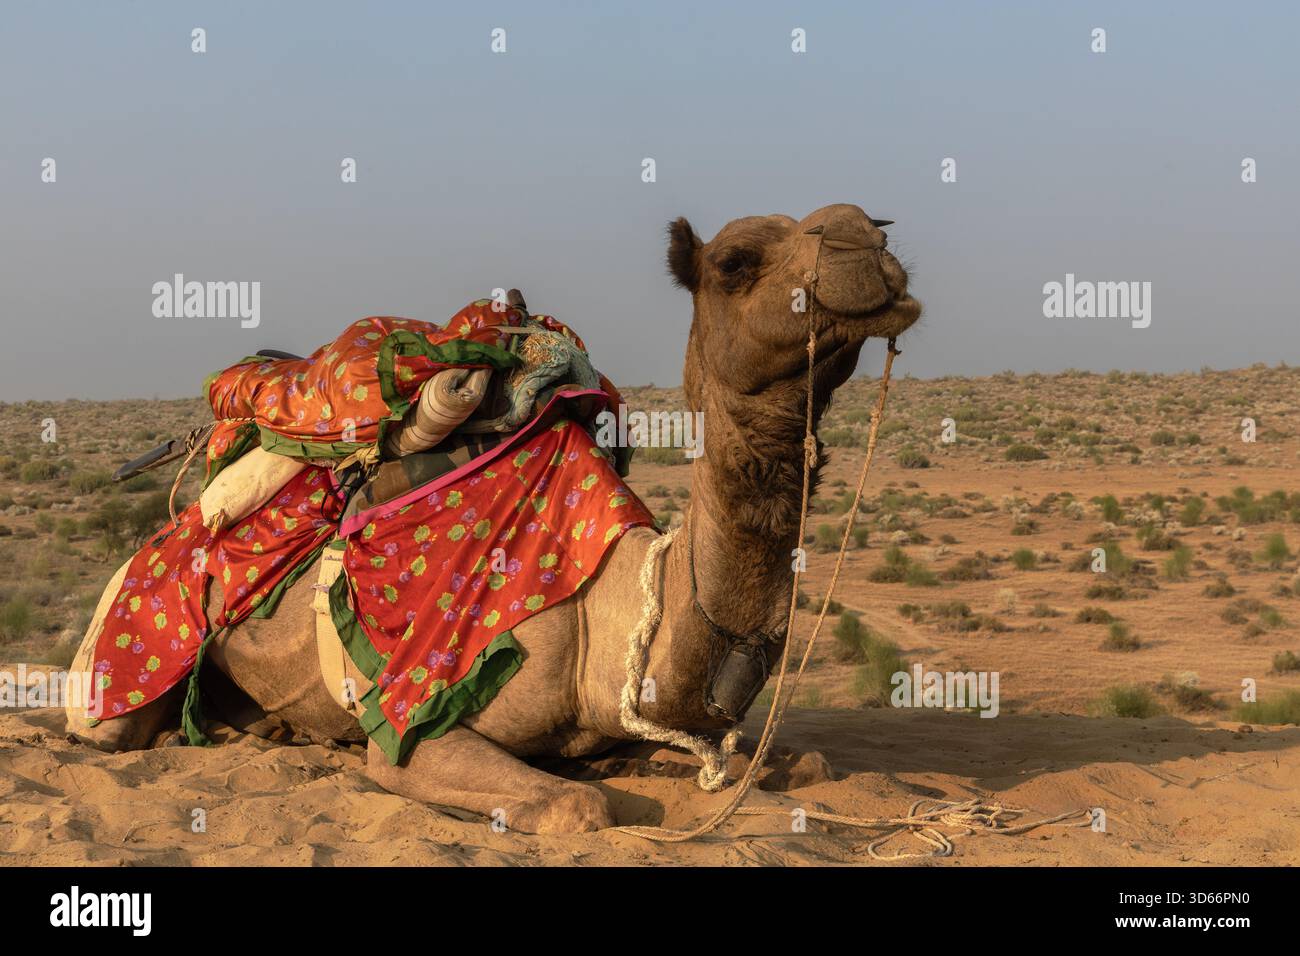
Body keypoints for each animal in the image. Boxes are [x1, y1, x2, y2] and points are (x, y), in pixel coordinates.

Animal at [65, 203, 920, 833]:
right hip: (133, 644)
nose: (867, 234)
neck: (608, 611)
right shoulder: (416, 724)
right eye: (736, 262)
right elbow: (580, 805)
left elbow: (789, 766)